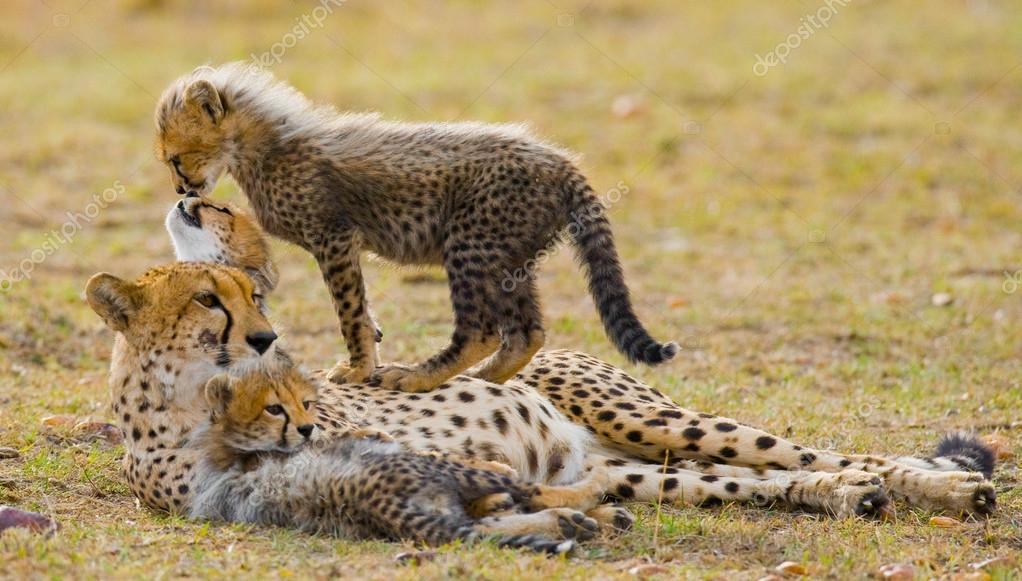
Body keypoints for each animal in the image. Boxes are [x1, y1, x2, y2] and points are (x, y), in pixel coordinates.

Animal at [154, 62, 678, 393]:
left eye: (176, 157)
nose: (180, 189)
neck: (263, 147)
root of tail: (560, 162)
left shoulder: (334, 237)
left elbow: (348, 310)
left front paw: (359, 368)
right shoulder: (341, 243)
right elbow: (361, 307)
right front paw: (372, 343)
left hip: (470, 244)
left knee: (481, 330)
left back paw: (419, 376)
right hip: (510, 256)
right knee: (526, 332)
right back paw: (480, 381)